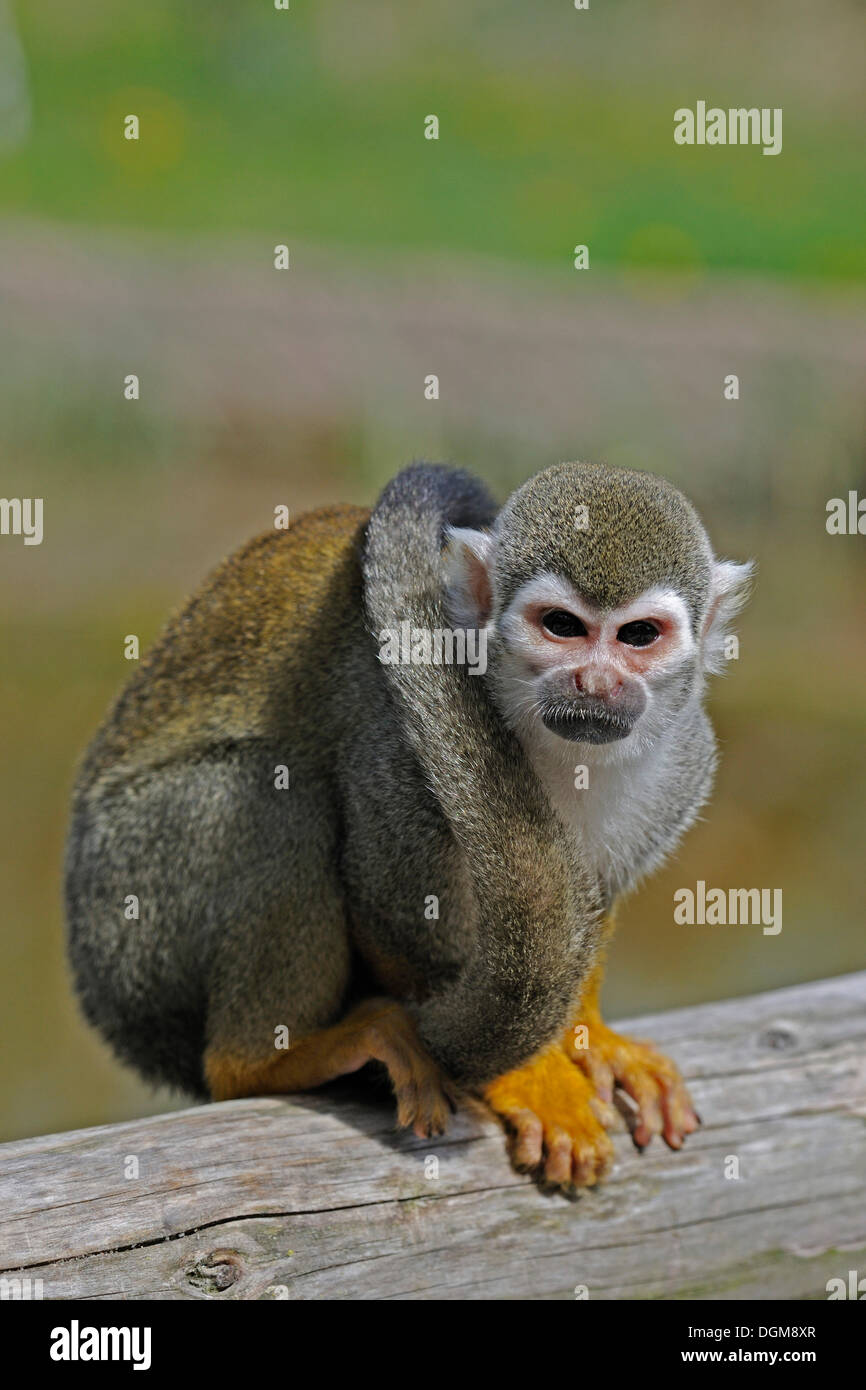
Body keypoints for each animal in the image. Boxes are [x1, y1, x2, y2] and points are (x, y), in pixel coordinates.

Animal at [65, 460, 751, 1192]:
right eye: (562, 625)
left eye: (638, 636)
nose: (595, 684)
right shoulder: (394, 744)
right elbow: (394, 912)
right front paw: (526, 1073)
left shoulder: (683, 761)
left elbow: (597, 895)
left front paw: (585, 1035)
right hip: (129, 914)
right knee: (276, 788)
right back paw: (260, 1061)